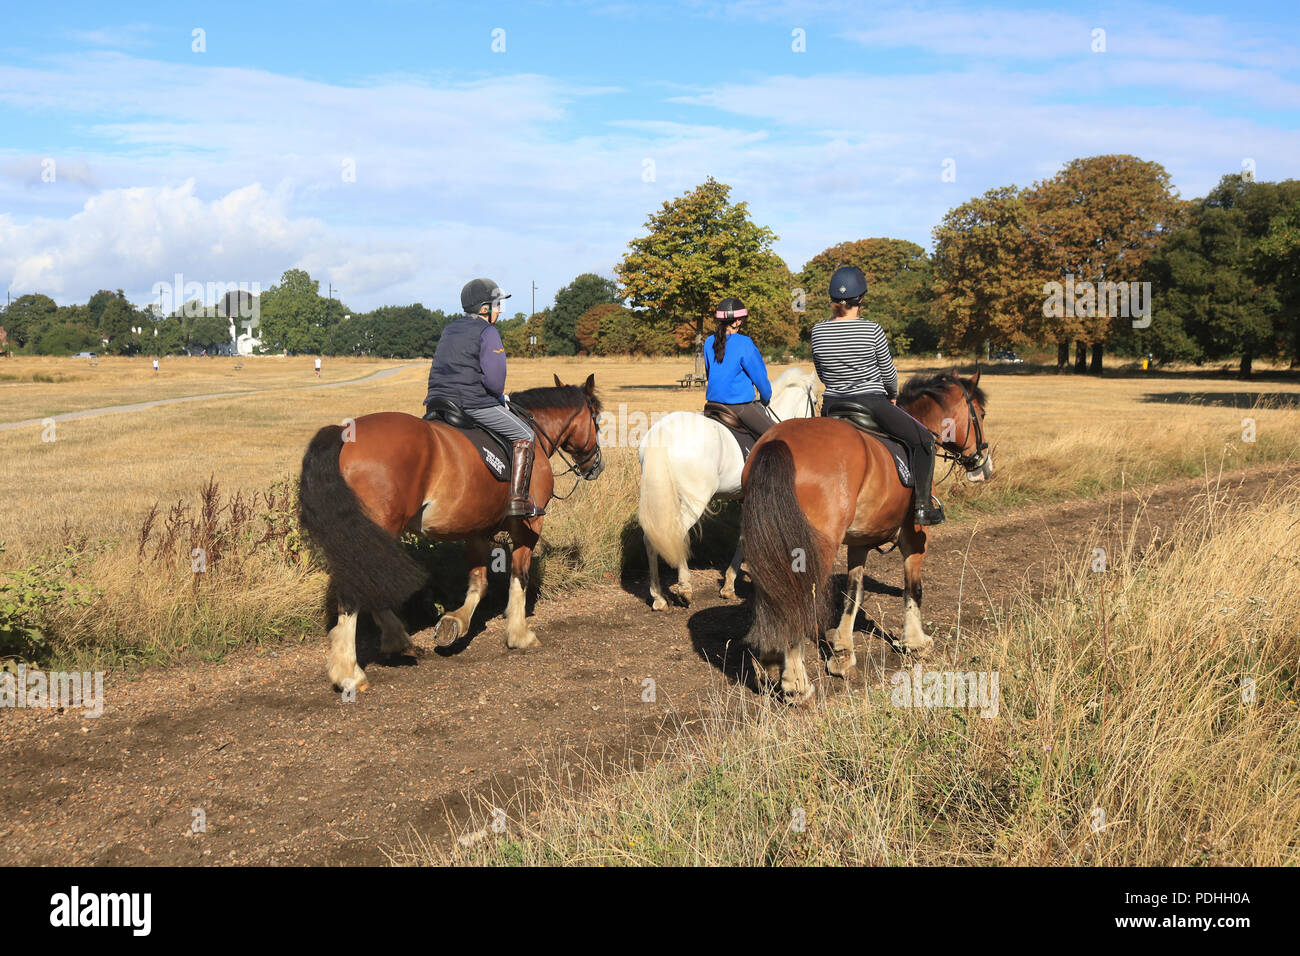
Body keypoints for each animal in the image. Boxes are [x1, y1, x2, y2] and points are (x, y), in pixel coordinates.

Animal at [298, 374, 604, 692]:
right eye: (596, 418)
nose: (596, 465)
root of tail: (344, 433)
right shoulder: (528, 528)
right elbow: (520, 576)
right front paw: (519, 634)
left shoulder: (477, 529)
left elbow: (479, 583)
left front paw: (455, 623)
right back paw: (350, 671)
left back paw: (398, 642)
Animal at [637, 367, 819, 610]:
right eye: (815, 401)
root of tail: (662, 433)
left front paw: (729, 584)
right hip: (695, 500)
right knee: (676, 532)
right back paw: (684, 587)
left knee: (651, 538)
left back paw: (658, 596)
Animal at [740, 369, 993, 705]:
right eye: (980, 413)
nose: (983, 465)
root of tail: (779, 442)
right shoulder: (915, 536)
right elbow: (913, 588)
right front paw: (915, 642)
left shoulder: (858, 542)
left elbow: (853, 592)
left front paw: (843, 653)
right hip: (811, 548)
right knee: (796, 597)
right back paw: (796, 683)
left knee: (774, 590)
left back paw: (771, 658)